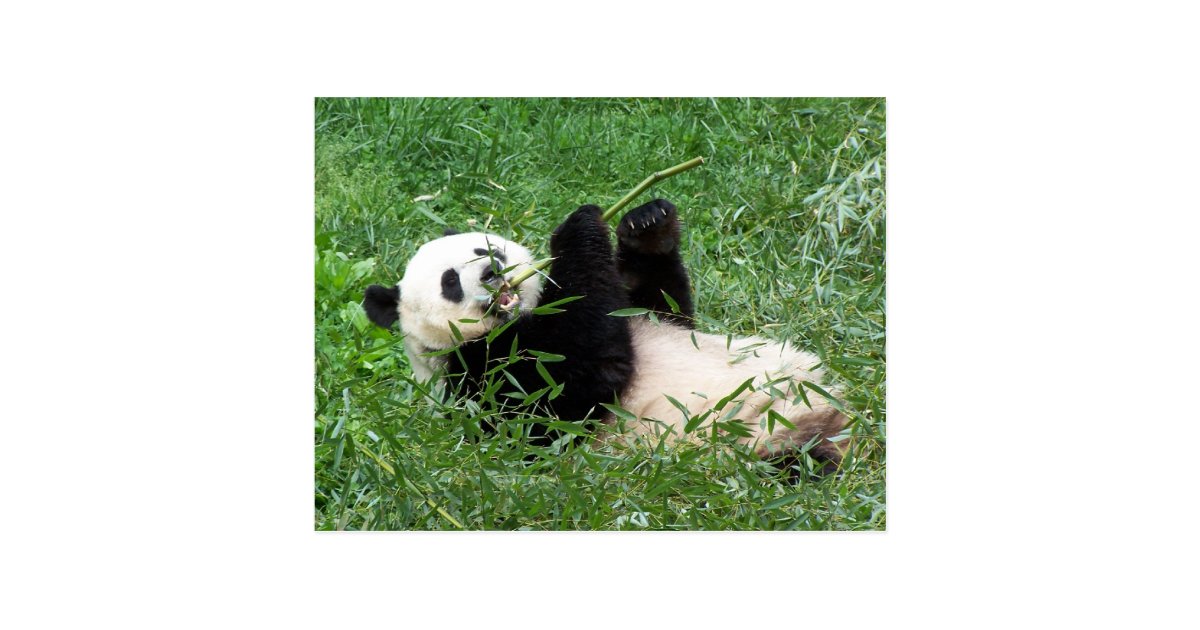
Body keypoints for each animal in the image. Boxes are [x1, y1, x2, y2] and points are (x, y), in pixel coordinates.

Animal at [363, 200, 849, 471]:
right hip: (738, 445)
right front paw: (575, 229)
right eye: (449, 282)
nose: (490, 271)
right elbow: (572, 382)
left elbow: (664, 310)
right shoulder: (481, 374)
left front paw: (646, 223)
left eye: (484, 247)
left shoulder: (646, 315)